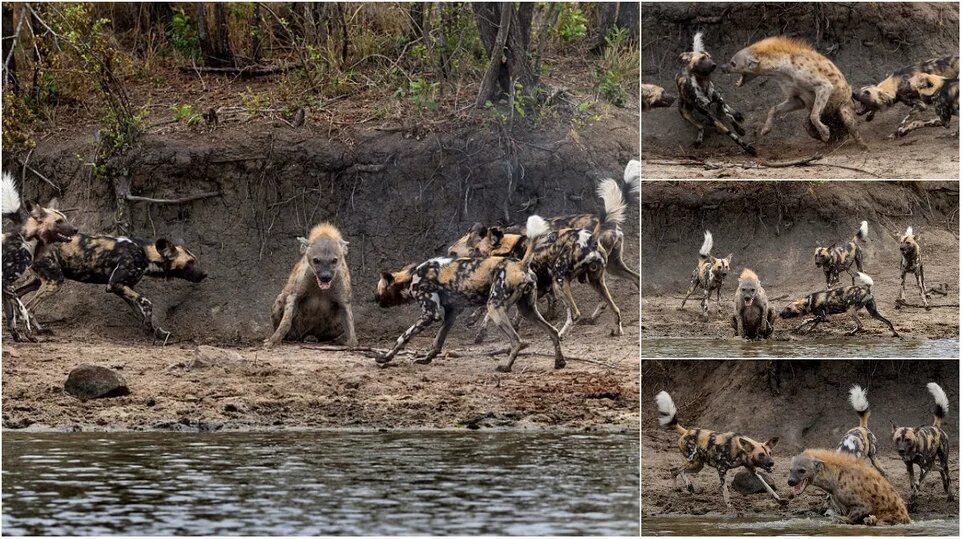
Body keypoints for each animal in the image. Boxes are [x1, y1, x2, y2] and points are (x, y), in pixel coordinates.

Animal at [1, 173, 76, 342]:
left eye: (66, 218)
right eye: (58, 221)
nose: (76, 229)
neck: (27, 240)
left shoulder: (6, 287)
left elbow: (11, 316)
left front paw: (18, 337)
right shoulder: (6, 283)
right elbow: (22, 309)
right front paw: (29, 334)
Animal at [15, 233, 206, 342]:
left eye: (195, 260)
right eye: (190, 262)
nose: (205, 274)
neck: (145, 254)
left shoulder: (124, 288)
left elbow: (141, 311)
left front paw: (154, 331)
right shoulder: (115, 284)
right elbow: (148, 303)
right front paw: (150, 329)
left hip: (38, 282)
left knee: (18, 298)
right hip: (54, 282)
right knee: (29, 307)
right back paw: (34, 333)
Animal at [372, 214, 560, 372]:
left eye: (378, 289)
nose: (375, 299)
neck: (411, 277)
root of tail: (521, 264)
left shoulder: (431, 314)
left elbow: (403, 337)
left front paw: (385, 357)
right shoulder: (451, 313)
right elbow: (437, 342)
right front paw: (426, 359)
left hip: (495, 307)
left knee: (517, 341)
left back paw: (506, 367)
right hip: (527, 310)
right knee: (553, 331)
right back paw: (560, 362)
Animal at [652, 390, 780, 508]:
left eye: (770, 453)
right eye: (761, 454)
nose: (772, 463)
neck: (740, 450)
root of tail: (686, 431)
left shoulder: (752, 470)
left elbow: (766, 485)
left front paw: (778, 499)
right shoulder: (721, 469)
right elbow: (725, 491)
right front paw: (729, 507)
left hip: (698, 466)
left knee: (675, 470)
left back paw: (677, 489)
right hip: (694, 462)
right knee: (677, 470)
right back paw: (687, 486)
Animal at [720, 36, 864, 148]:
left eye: (732, 63)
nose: (721, 67)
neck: (783, 71)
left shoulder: (823, 85)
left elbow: (814, 114)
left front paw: (824, 133)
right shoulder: (796, 98)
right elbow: (773, 108)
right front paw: (765, 130)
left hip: (845, 109)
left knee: (852, 128)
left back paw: (860, 146)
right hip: (814, 121)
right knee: (811, 125)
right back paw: (831, 141)